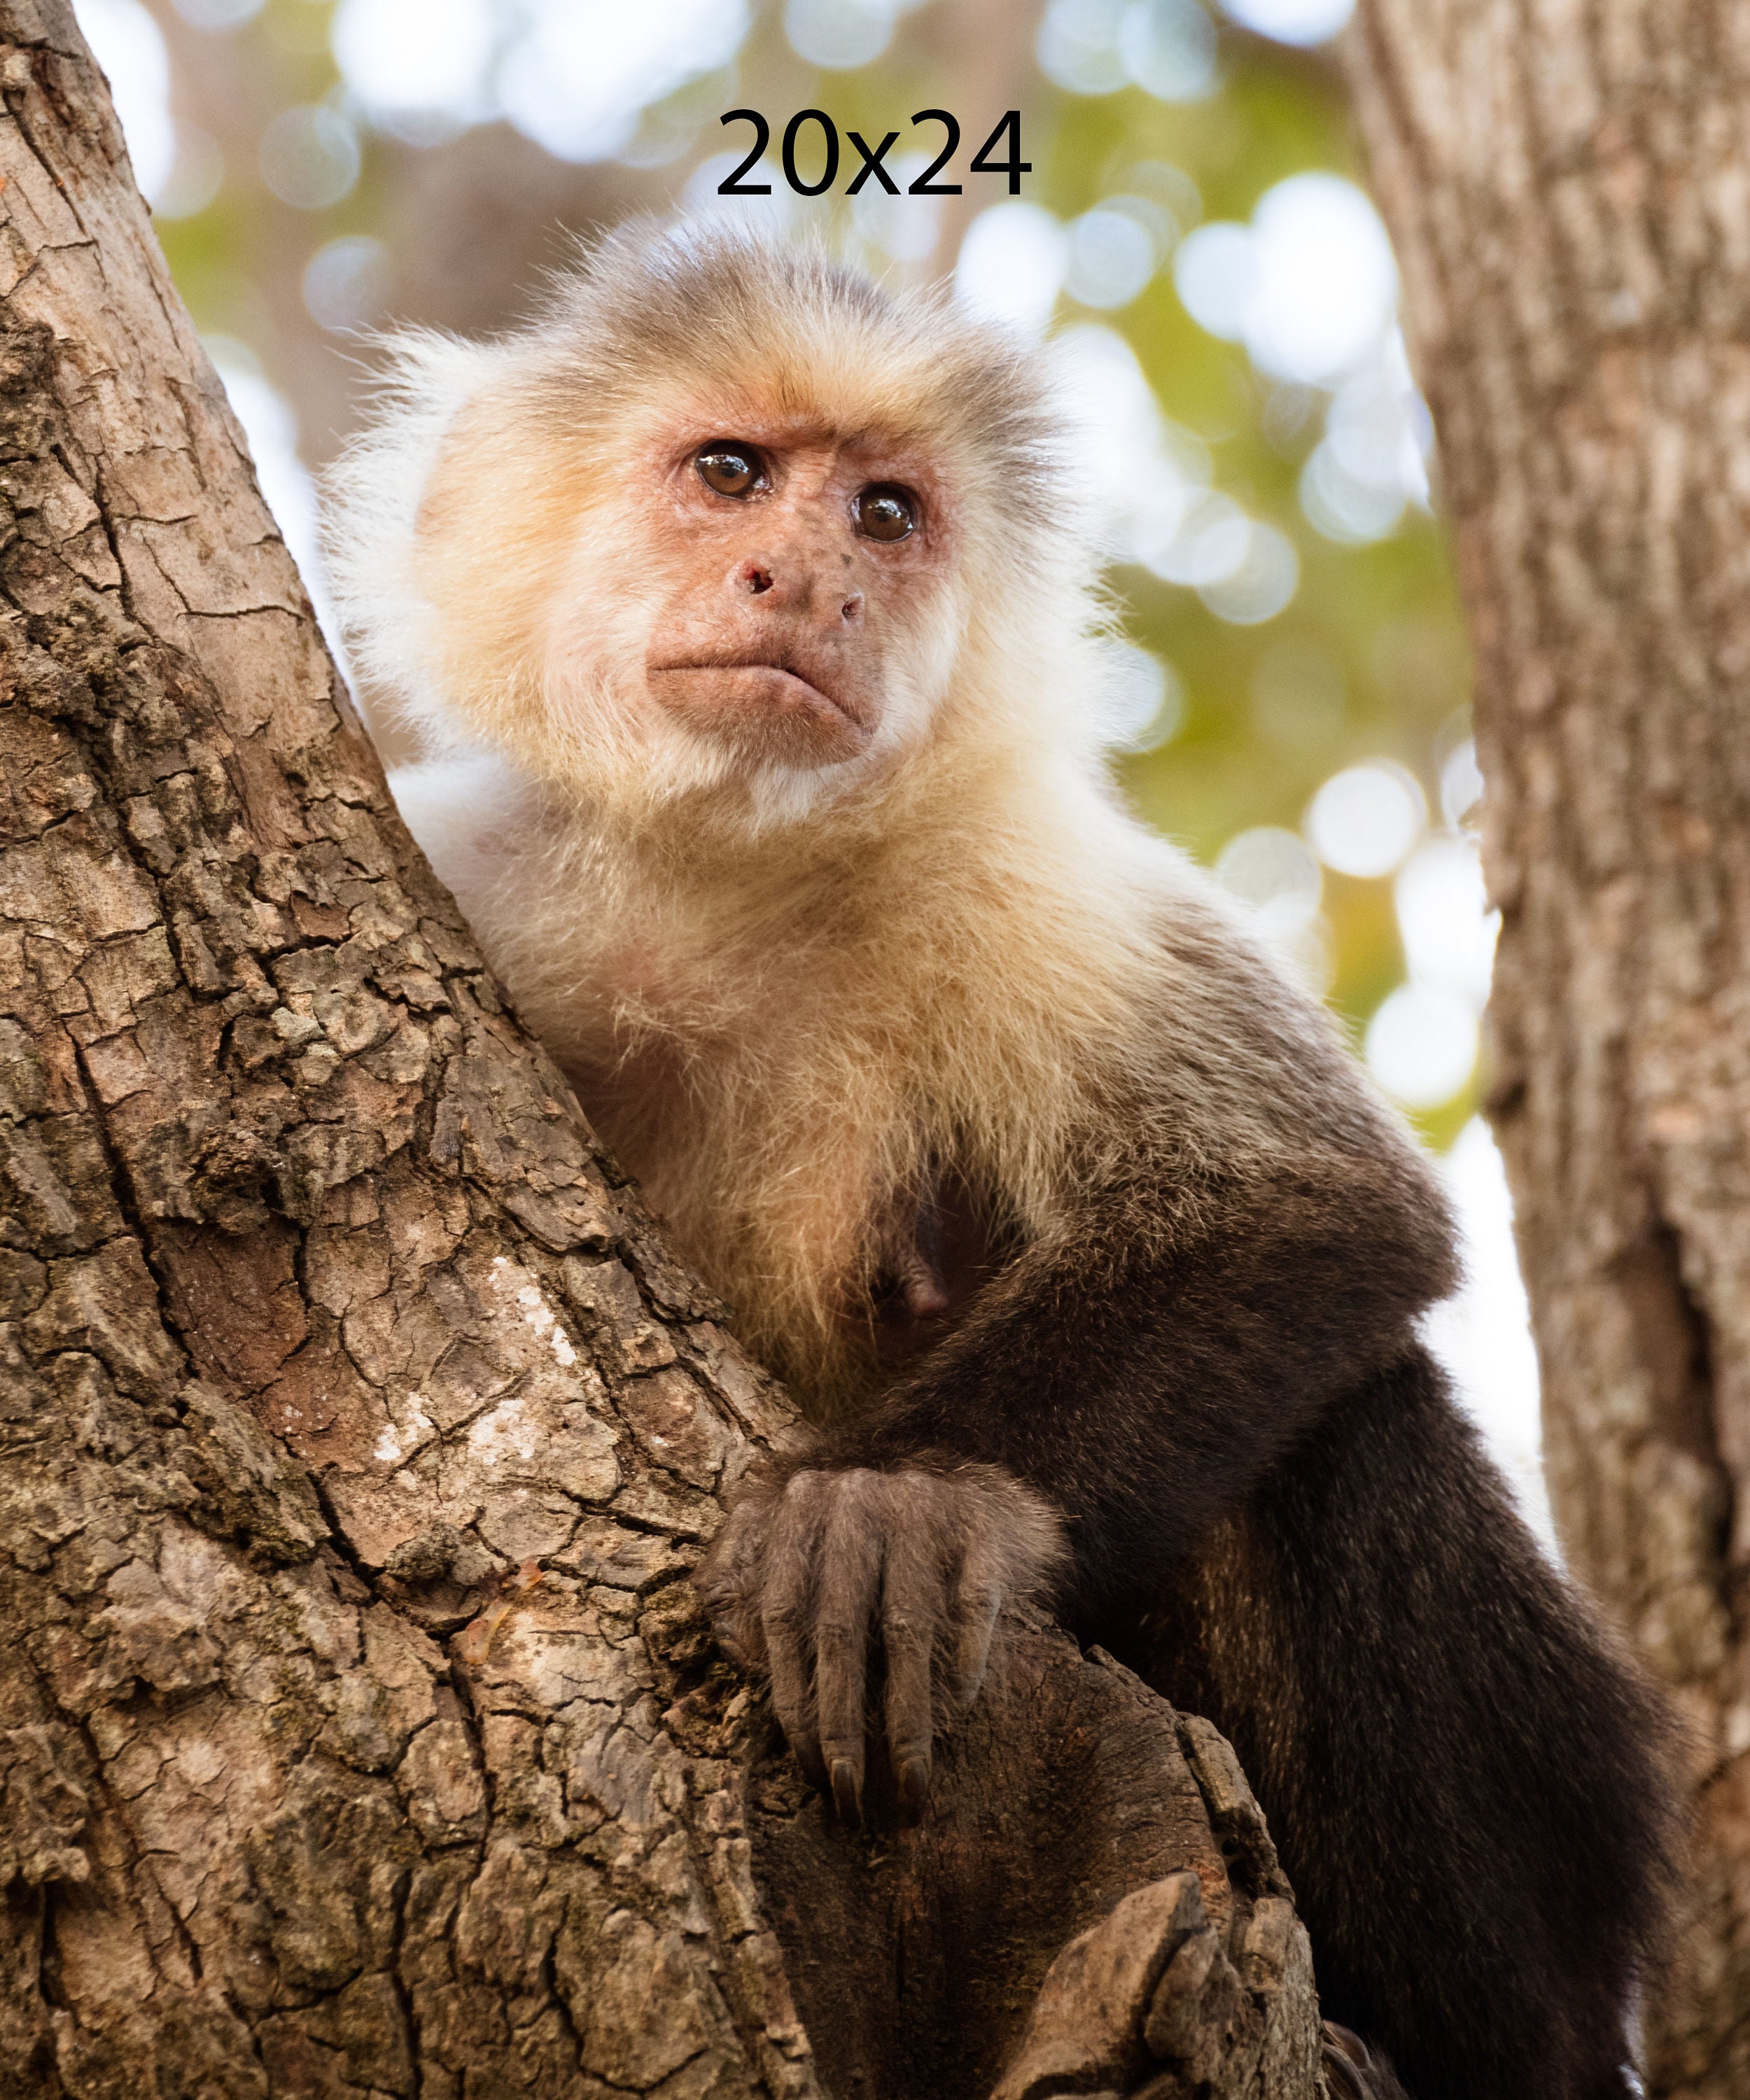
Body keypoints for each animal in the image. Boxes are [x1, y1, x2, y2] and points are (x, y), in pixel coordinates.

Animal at [322, 223, 1679, 2100]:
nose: (807, 582)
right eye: (729, 473)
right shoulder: (482, 871)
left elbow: (1315, 1205)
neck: (720, 881)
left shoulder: (1025, 872)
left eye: (886, 513)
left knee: (1354, 1425)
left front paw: (905, 1506)